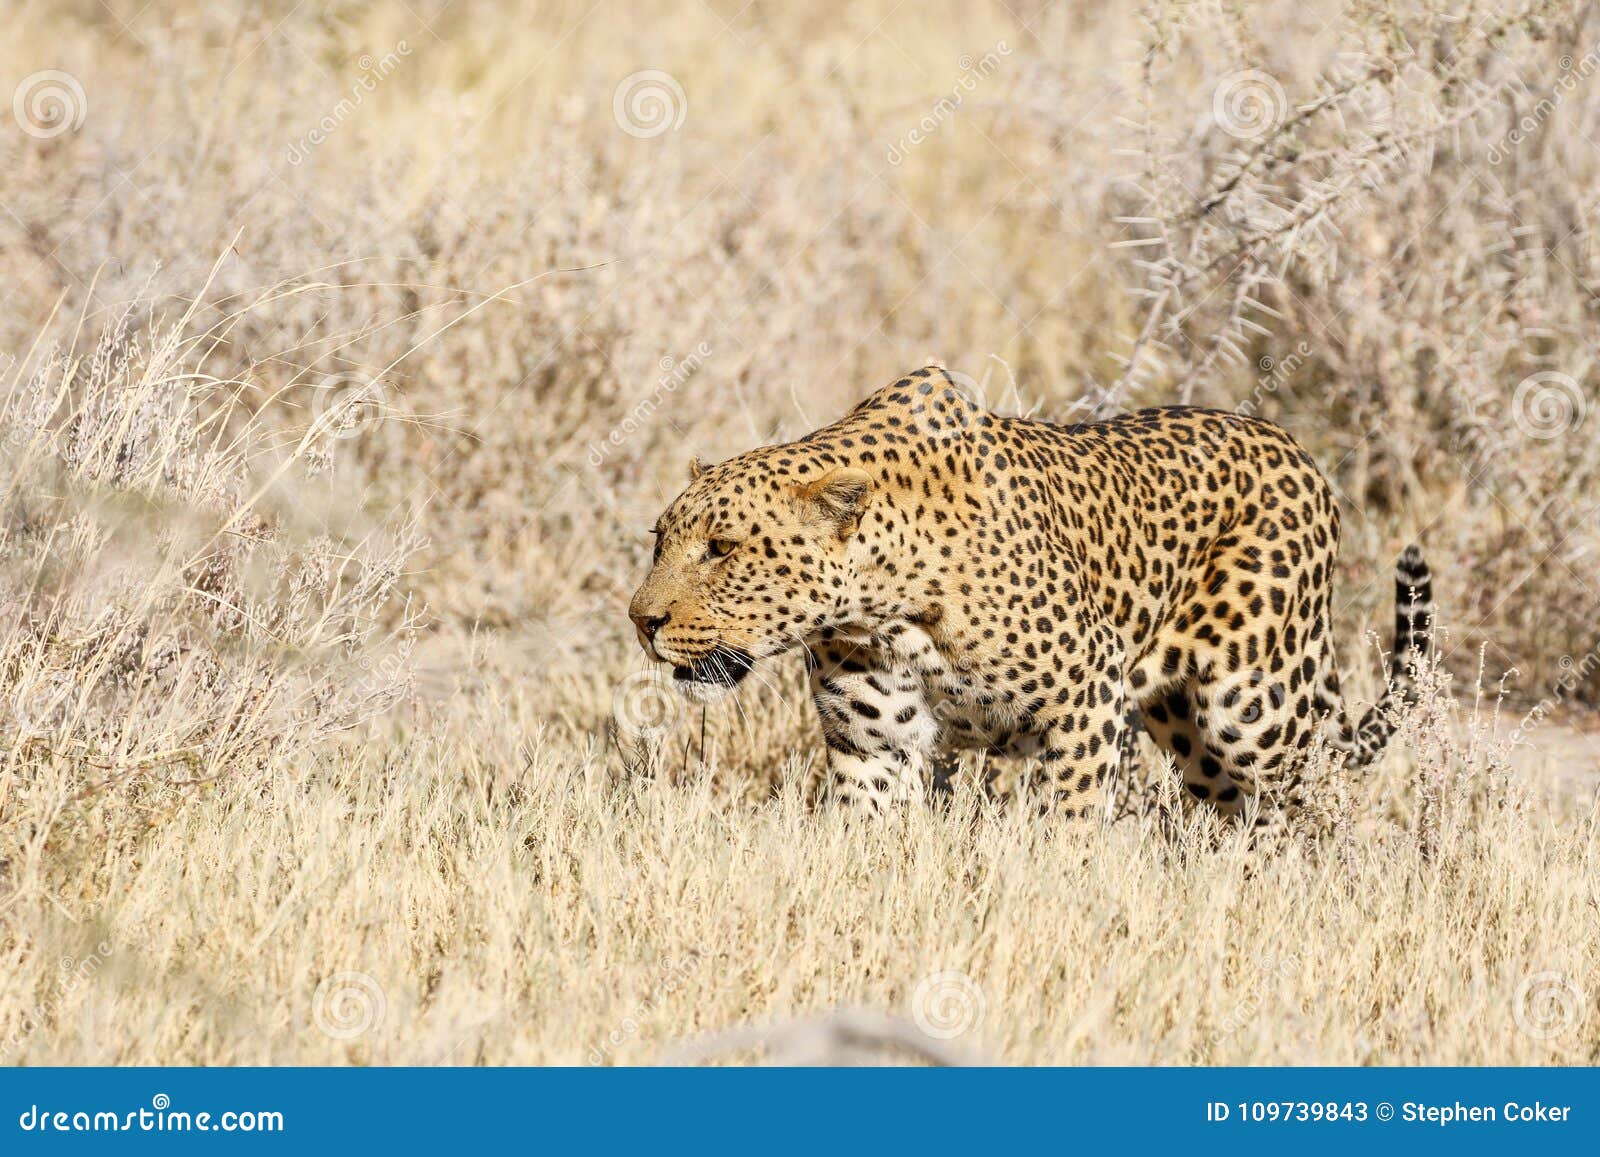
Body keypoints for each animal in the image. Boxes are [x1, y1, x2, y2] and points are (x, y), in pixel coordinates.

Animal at [627, 367, 1433, 824]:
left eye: (722, 550)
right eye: (660, 539)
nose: (642, 620)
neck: (880, 607)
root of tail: (1297, 449)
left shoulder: (1086, 699)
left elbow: (1067, 824)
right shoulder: (872, 746)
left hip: (1254, 707)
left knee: (1314, 795)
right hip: (1191, 729)